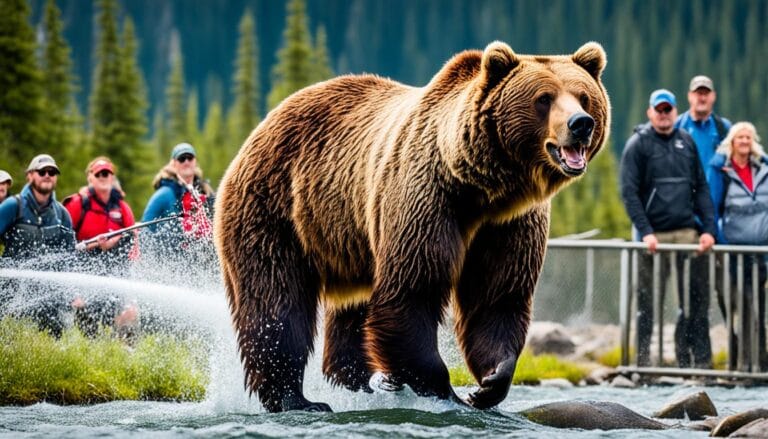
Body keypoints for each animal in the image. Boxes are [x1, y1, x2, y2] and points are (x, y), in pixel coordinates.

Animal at [214, 41, 610, 413]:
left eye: (584, 96)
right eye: (544, 98)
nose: (581, 124)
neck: (482, 188)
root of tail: (265, 122)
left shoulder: (508, 223)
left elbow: (497, 294)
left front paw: (489, 382)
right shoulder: (426, 198)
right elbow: (412, 290)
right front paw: (445, 389)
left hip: (348, 238)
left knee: (349, 311)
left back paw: (356, 382)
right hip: (275, 209)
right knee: (276, 304)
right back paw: (297, 398)